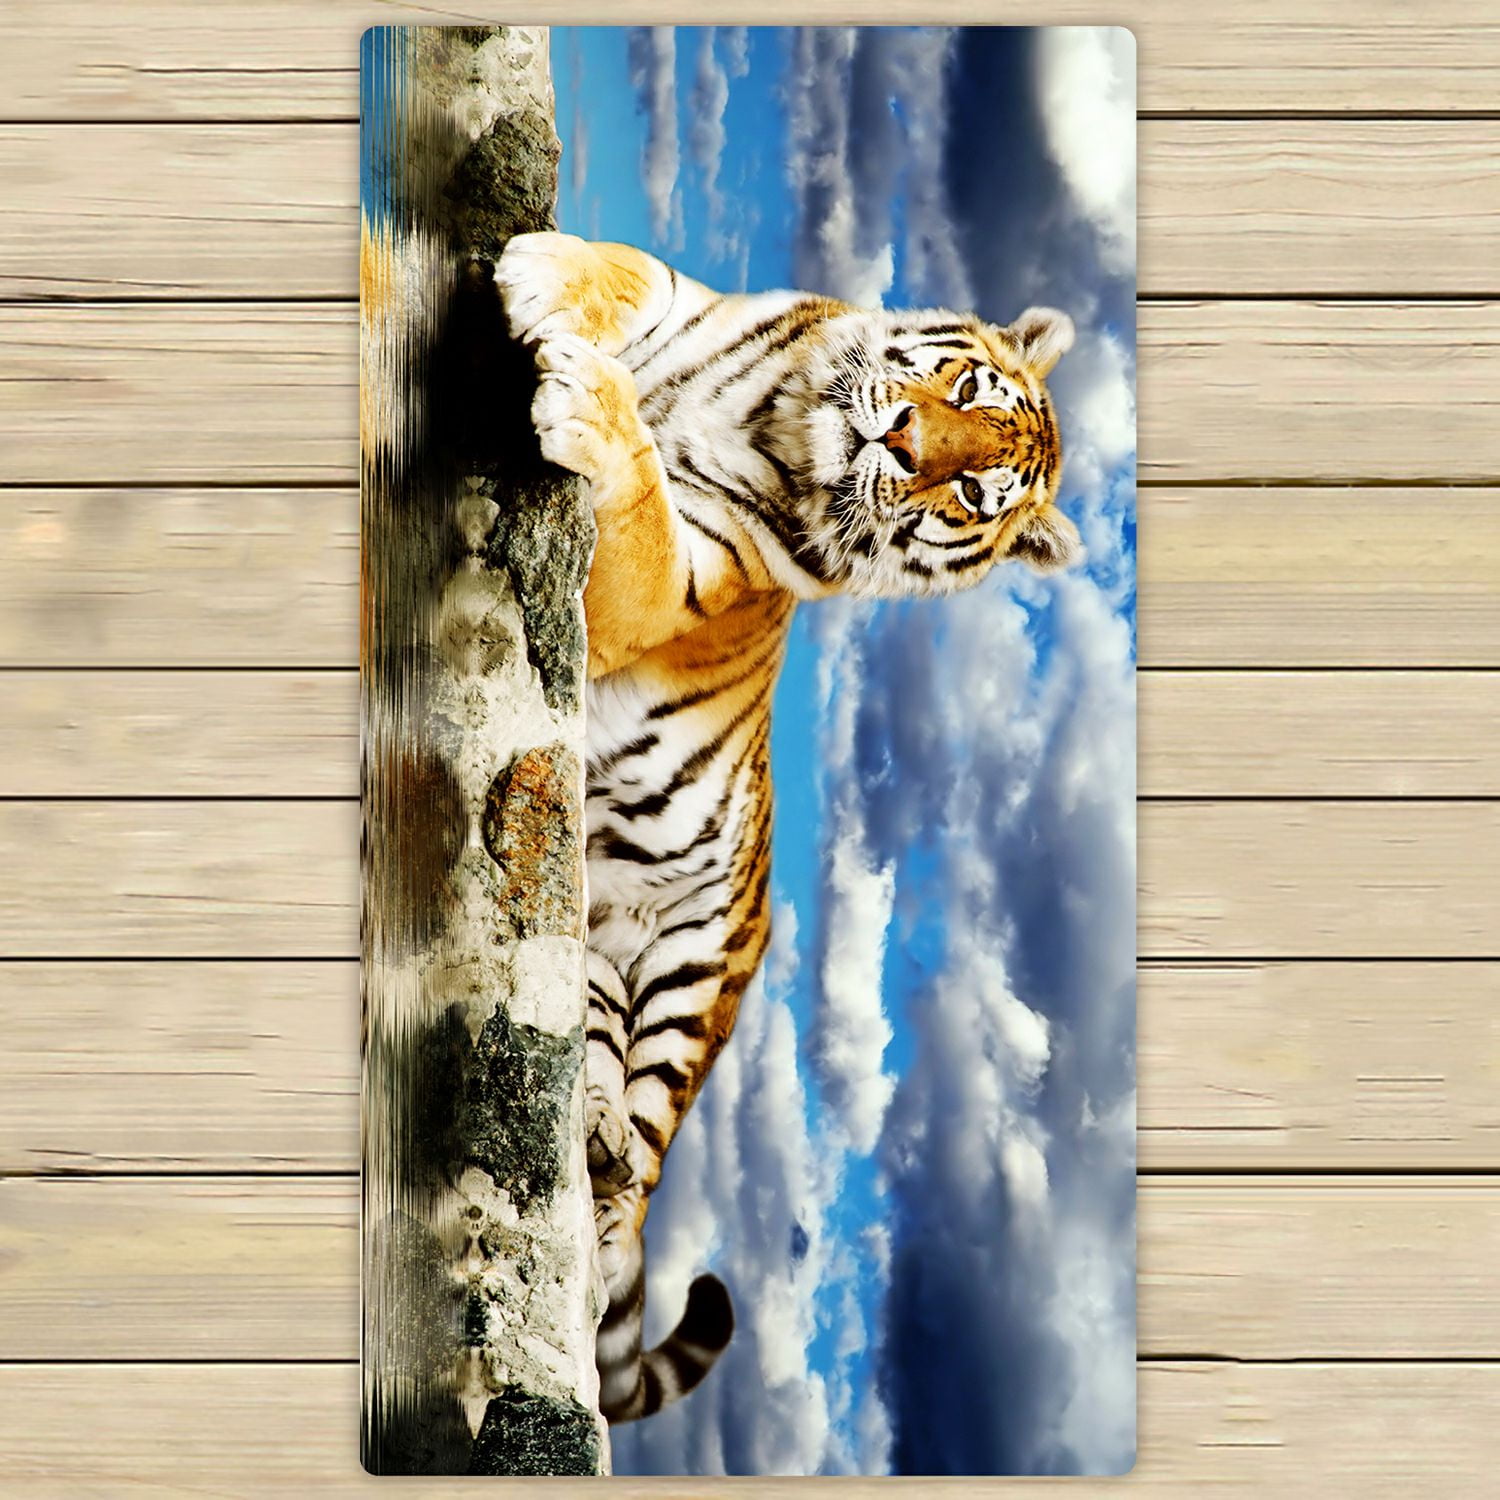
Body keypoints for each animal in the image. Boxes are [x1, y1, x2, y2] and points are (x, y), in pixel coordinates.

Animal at [495, 231, 1080, 1424]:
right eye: (962, 395)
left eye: (971, 489)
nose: (901, 442)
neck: (778, 427)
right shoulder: (699, 306)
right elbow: (628, 271)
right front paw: (546, 274)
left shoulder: (672, 579)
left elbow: (641, 508)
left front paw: (584, 395)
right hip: (600, 962)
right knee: (599, 1088)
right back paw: (593, 1132)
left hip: (691, 994)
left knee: (631, 1201)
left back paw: (601, 1198)